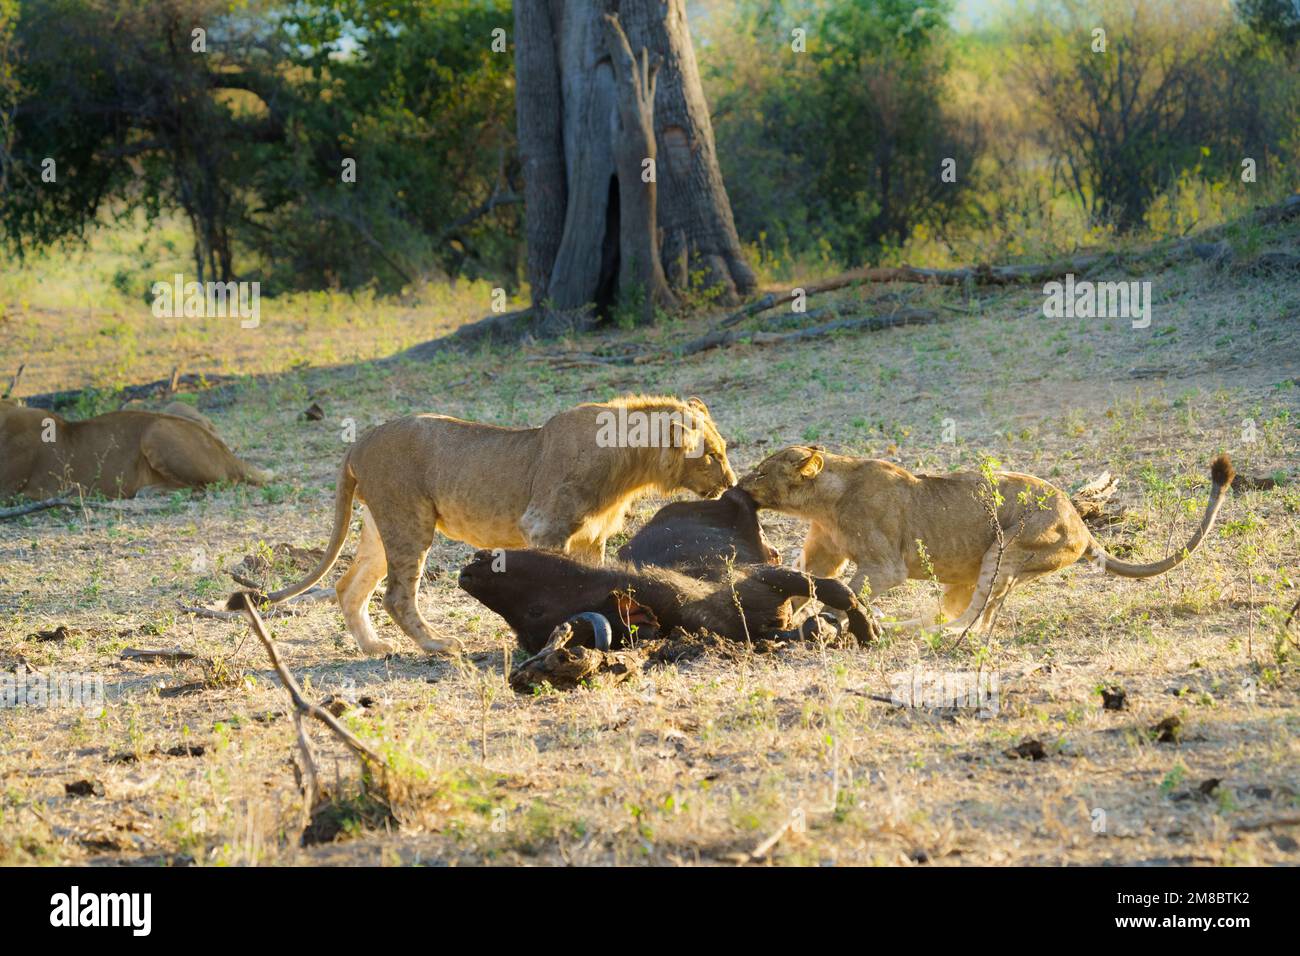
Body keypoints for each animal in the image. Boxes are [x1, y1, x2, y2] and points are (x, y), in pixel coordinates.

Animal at [232, 395, 736, 657]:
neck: (630, 462)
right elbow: (560, 579)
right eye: (712, 454)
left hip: (380, 524)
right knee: (396, 595)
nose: (731, 482)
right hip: (410, 521)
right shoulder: (544, 525)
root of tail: (360, 441)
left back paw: (375, 647)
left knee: (348, 586)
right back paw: (437, 645)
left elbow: (597, 578)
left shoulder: (591, 538)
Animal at [738, 446, 1233, 633]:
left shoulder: (885, 567)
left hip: (1008, 548)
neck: (823, 501)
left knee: (978, 615)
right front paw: (793, 615)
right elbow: (808, 582)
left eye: (761, 472)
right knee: (966, 610)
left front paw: (834, 620)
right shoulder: (824, 555)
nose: (738, 485)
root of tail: (1083, 523)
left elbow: (850, 590)